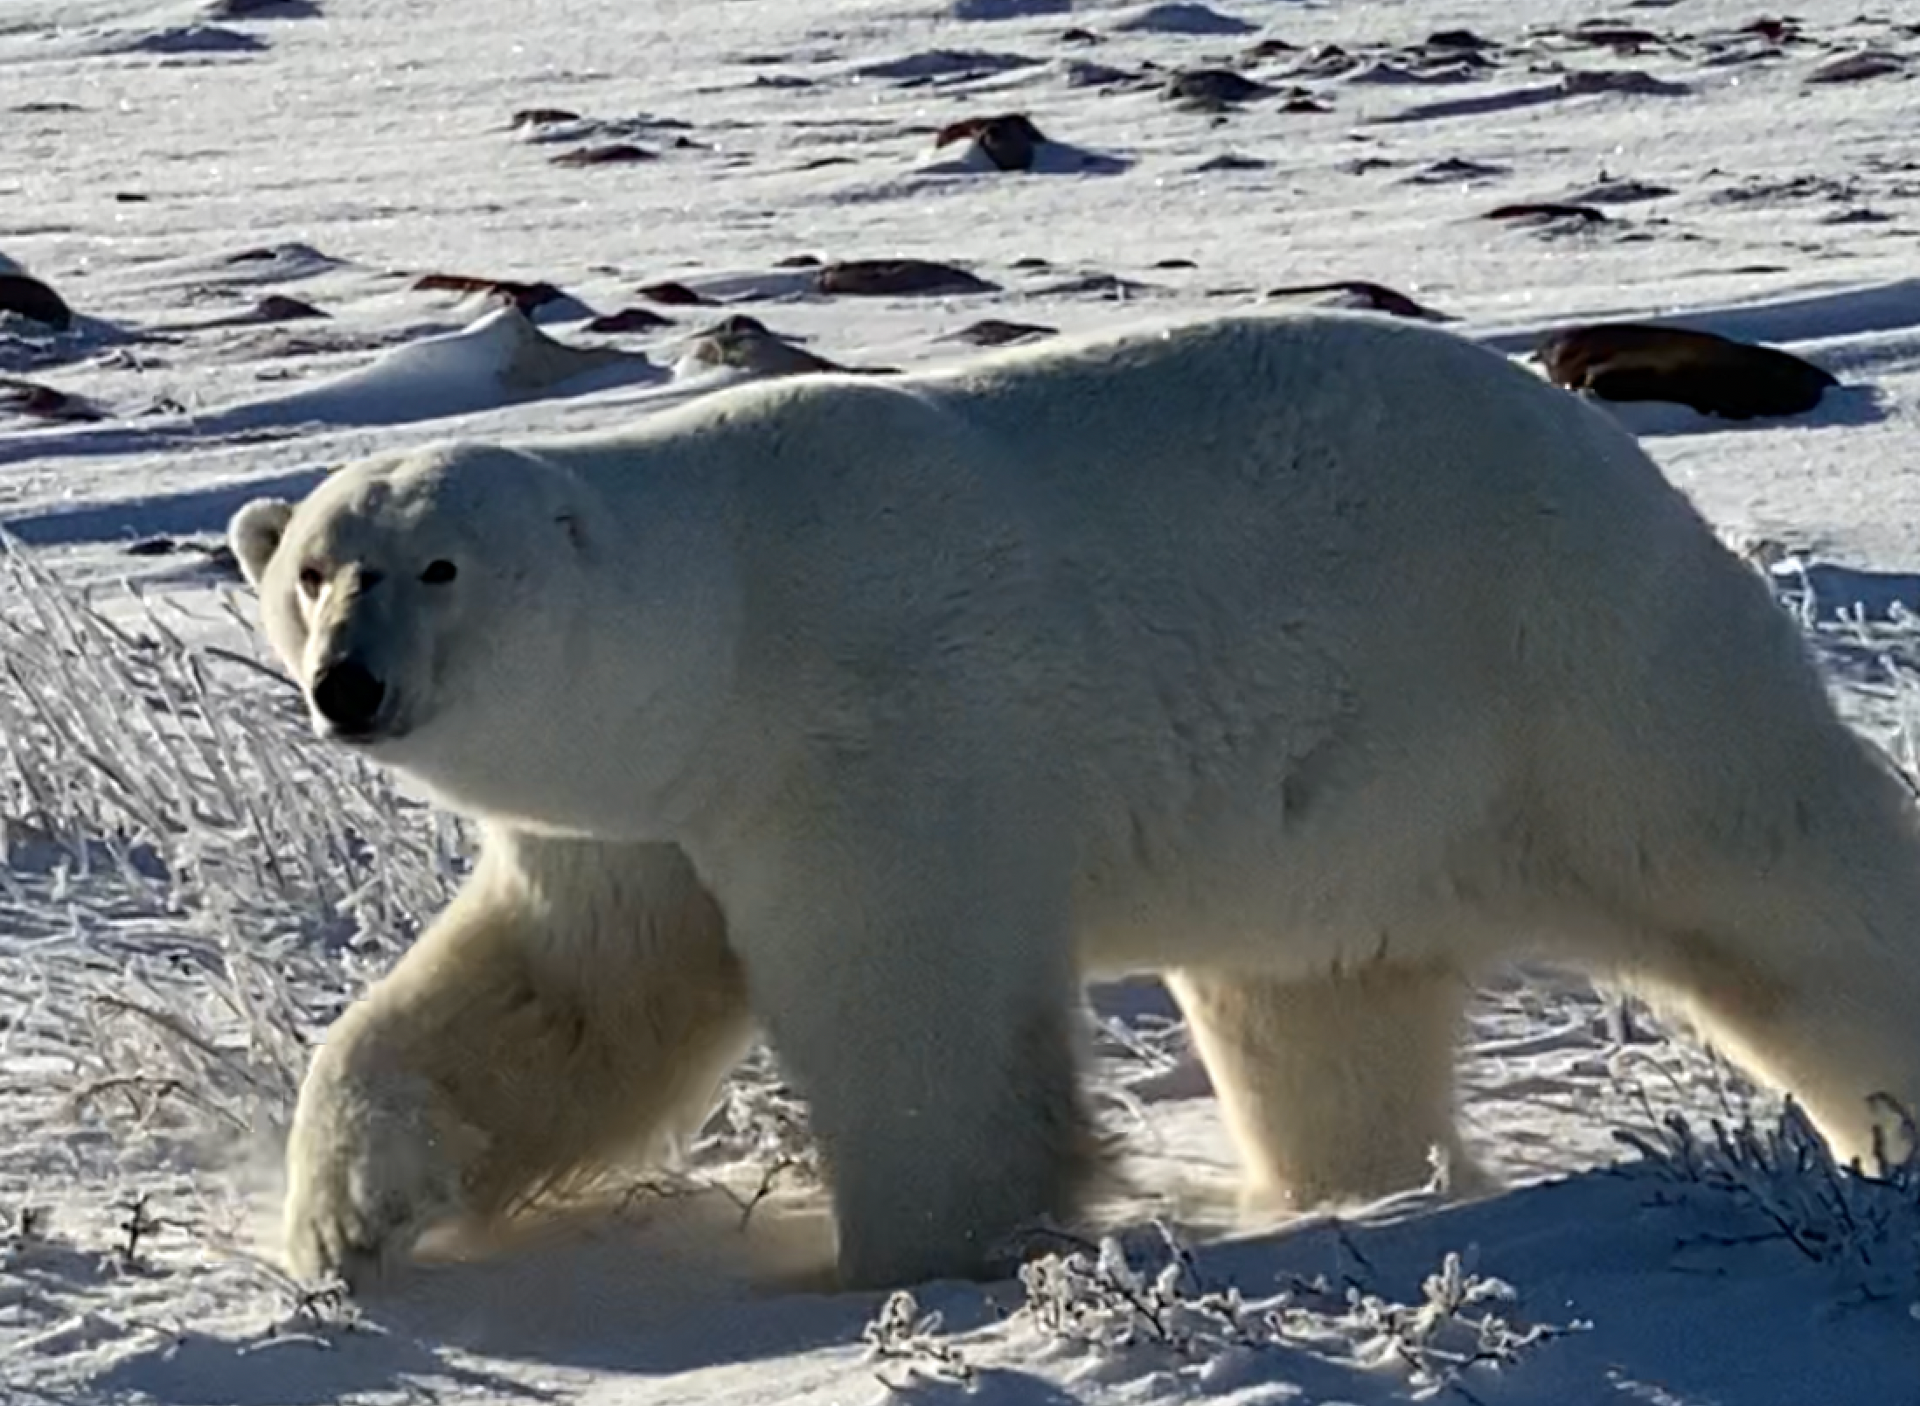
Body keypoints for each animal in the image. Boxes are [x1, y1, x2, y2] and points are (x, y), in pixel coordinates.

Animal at [230, 307, 1920, 1293]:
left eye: (441, 565)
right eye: (313, 568)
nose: (347, 686)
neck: (733, 614)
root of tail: (1606, 443)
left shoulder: (882, 742)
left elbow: (918, 1024)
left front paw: (920, 1264)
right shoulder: (644, 817)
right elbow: (561, 1001)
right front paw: (349, 1216)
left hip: (1563, 664)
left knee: (1775, 872)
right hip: (1348, 810)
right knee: (1318, 1014)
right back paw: (1342, 1190)